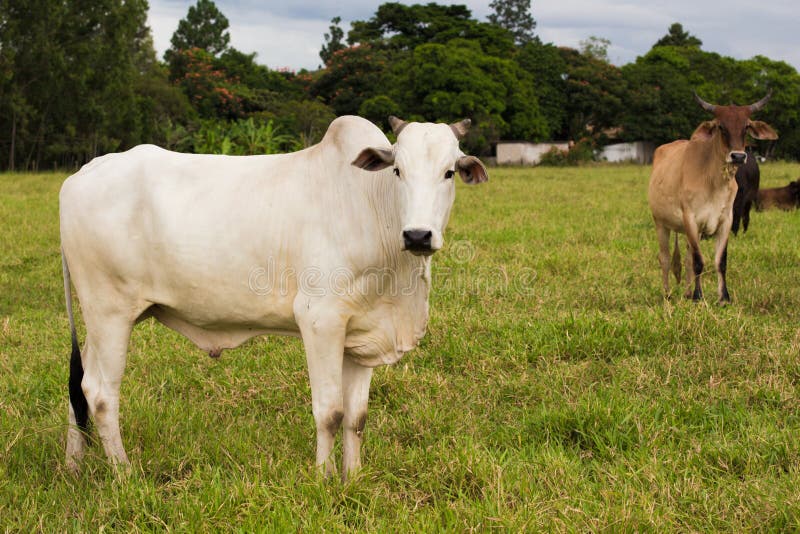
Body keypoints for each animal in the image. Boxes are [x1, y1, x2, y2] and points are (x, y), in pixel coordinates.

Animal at [60, 115, 489, 480]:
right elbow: (330, 412)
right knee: (100, 393)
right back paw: (123, 473)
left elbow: (356, 417)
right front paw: (323, 480)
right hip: (110, 313)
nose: (417, 235)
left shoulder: (363, 332)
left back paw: (74, 467)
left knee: (80, 385)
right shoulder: (319, 320)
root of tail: (81, 175)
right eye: (398, 170)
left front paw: (353, 479)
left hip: (100, 319)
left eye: (449, 172)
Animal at [648, 92, 777, 303]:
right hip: (661, 223)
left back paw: (686, 292)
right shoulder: (691, 220)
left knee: (686, 258)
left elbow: (720, 260)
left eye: (746, 126)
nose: (738, 156)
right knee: (665, 258)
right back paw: (667, 294)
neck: (714, 181)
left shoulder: (726, 221)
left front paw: (723, 297)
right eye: (721, 127)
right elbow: (699, 262)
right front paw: (698, 296)